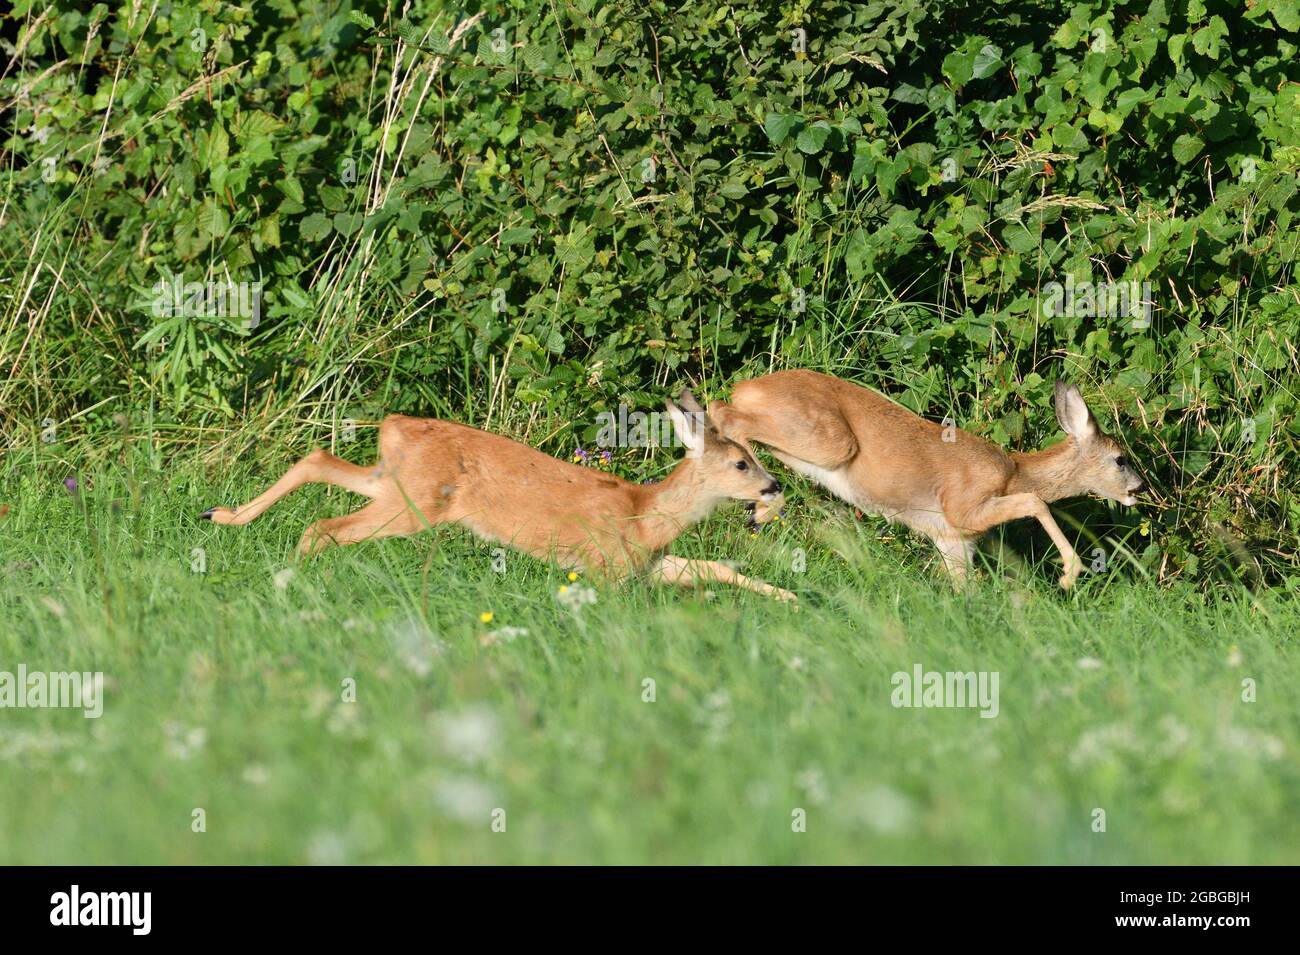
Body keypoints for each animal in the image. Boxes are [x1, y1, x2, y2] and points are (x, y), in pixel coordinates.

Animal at [199, 391, 797, 601]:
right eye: (741, 463)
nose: (773, 487)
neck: (646, 515)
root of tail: (393, 426)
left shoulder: (645, 563)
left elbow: (713, 568)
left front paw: (788, 598)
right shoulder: (604, 561)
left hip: (394, 482)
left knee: (316, 461)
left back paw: (222, 514)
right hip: (415, 506)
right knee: (324, 527)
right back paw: (290, 582)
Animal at [708, 371, 1145, 590]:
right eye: (1120, 458)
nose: (1139, 489)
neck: (1015, 471)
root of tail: (746, 386)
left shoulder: (952, 539)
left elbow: (962, 588)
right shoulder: (963, 508)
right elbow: (1035, 501)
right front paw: (1070, 574)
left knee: (721, 410)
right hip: (831, 442)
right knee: (724, 414)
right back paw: (761, 508)